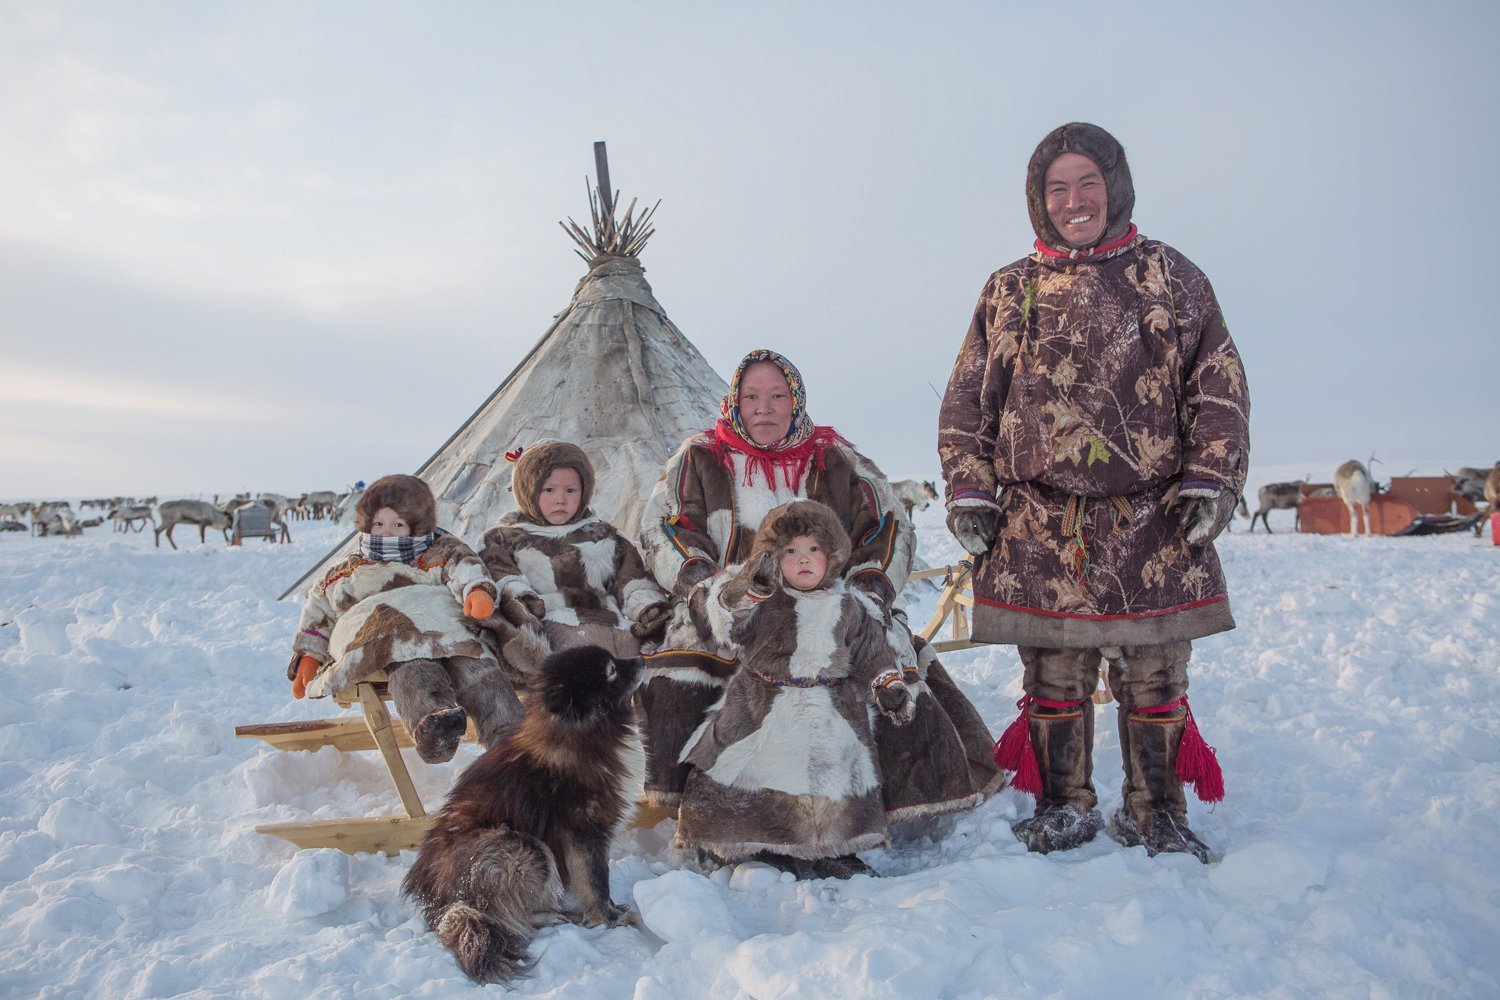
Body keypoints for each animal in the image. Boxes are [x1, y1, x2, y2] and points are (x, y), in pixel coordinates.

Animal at [405, 644, 645, 983]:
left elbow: (598, 882)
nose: (642, 658)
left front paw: (611, 911)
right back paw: (553, 915)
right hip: (523, 849)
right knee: (508, 915)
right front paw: (610, 919)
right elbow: (596, 882)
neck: (581, 732)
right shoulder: (585, 834)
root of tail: (444, 904)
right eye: (611, 671)